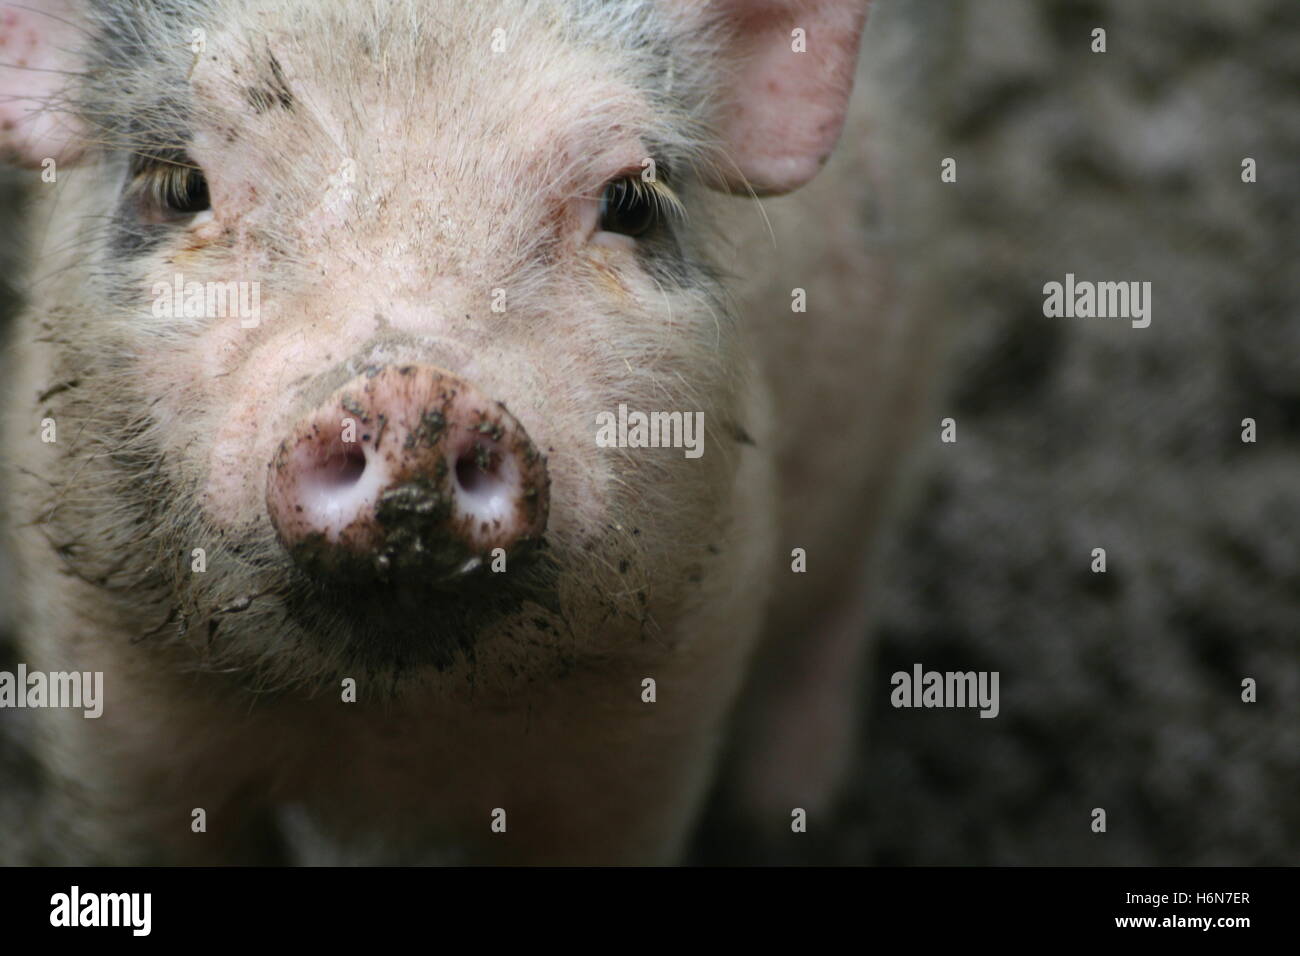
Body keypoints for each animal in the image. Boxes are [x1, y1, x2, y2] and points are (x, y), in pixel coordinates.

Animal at [0, 0, 936, 864]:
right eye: (179, 186)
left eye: (630, 203)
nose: (412, 391)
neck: (393, 726)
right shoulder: (106, 699)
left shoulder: (674, 687)